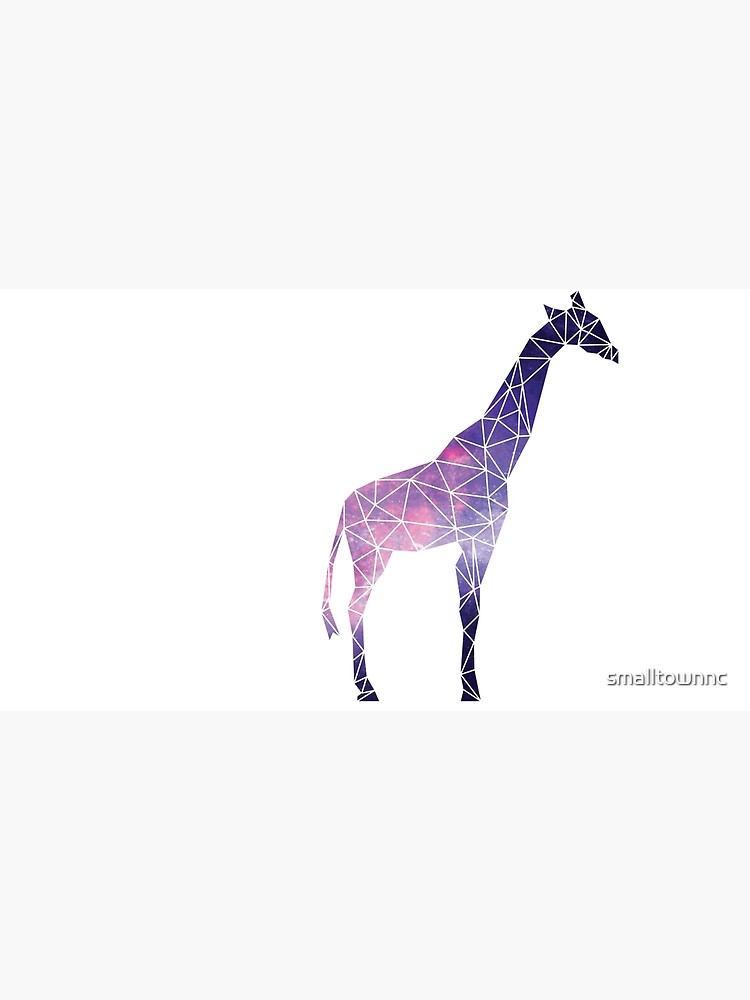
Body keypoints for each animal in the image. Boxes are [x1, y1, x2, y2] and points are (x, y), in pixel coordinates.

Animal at [322, 292, 619, 702]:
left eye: (598, 319)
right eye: (588, 325)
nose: (615, 352)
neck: (498, 453)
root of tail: (341, 510)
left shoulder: (474, 542)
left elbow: (469, 610)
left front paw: (467, 688)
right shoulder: (481, 538)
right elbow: (471, 612)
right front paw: (470, 692)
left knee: (357, 607)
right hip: (371, 554)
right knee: (355, 607)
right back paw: (368, 692)